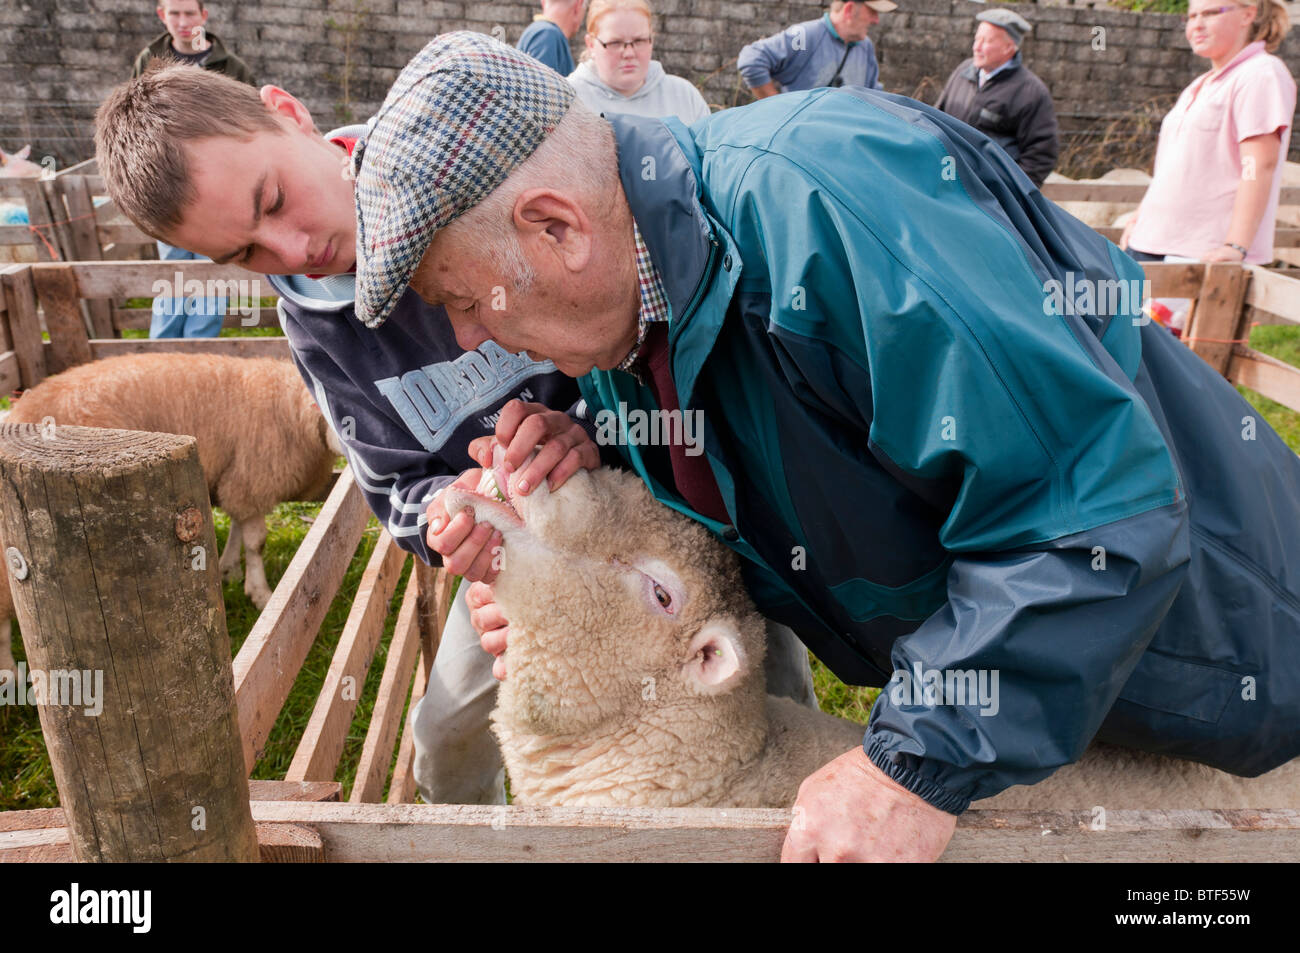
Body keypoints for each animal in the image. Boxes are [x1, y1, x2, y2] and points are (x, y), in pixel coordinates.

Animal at [0, 353, 342, 680]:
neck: (294, 409)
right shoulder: (253, 477)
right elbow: (256, 542)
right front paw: (261, 593)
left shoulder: (235, 475)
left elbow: (237, 526)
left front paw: (229, 567)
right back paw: (9, 674)